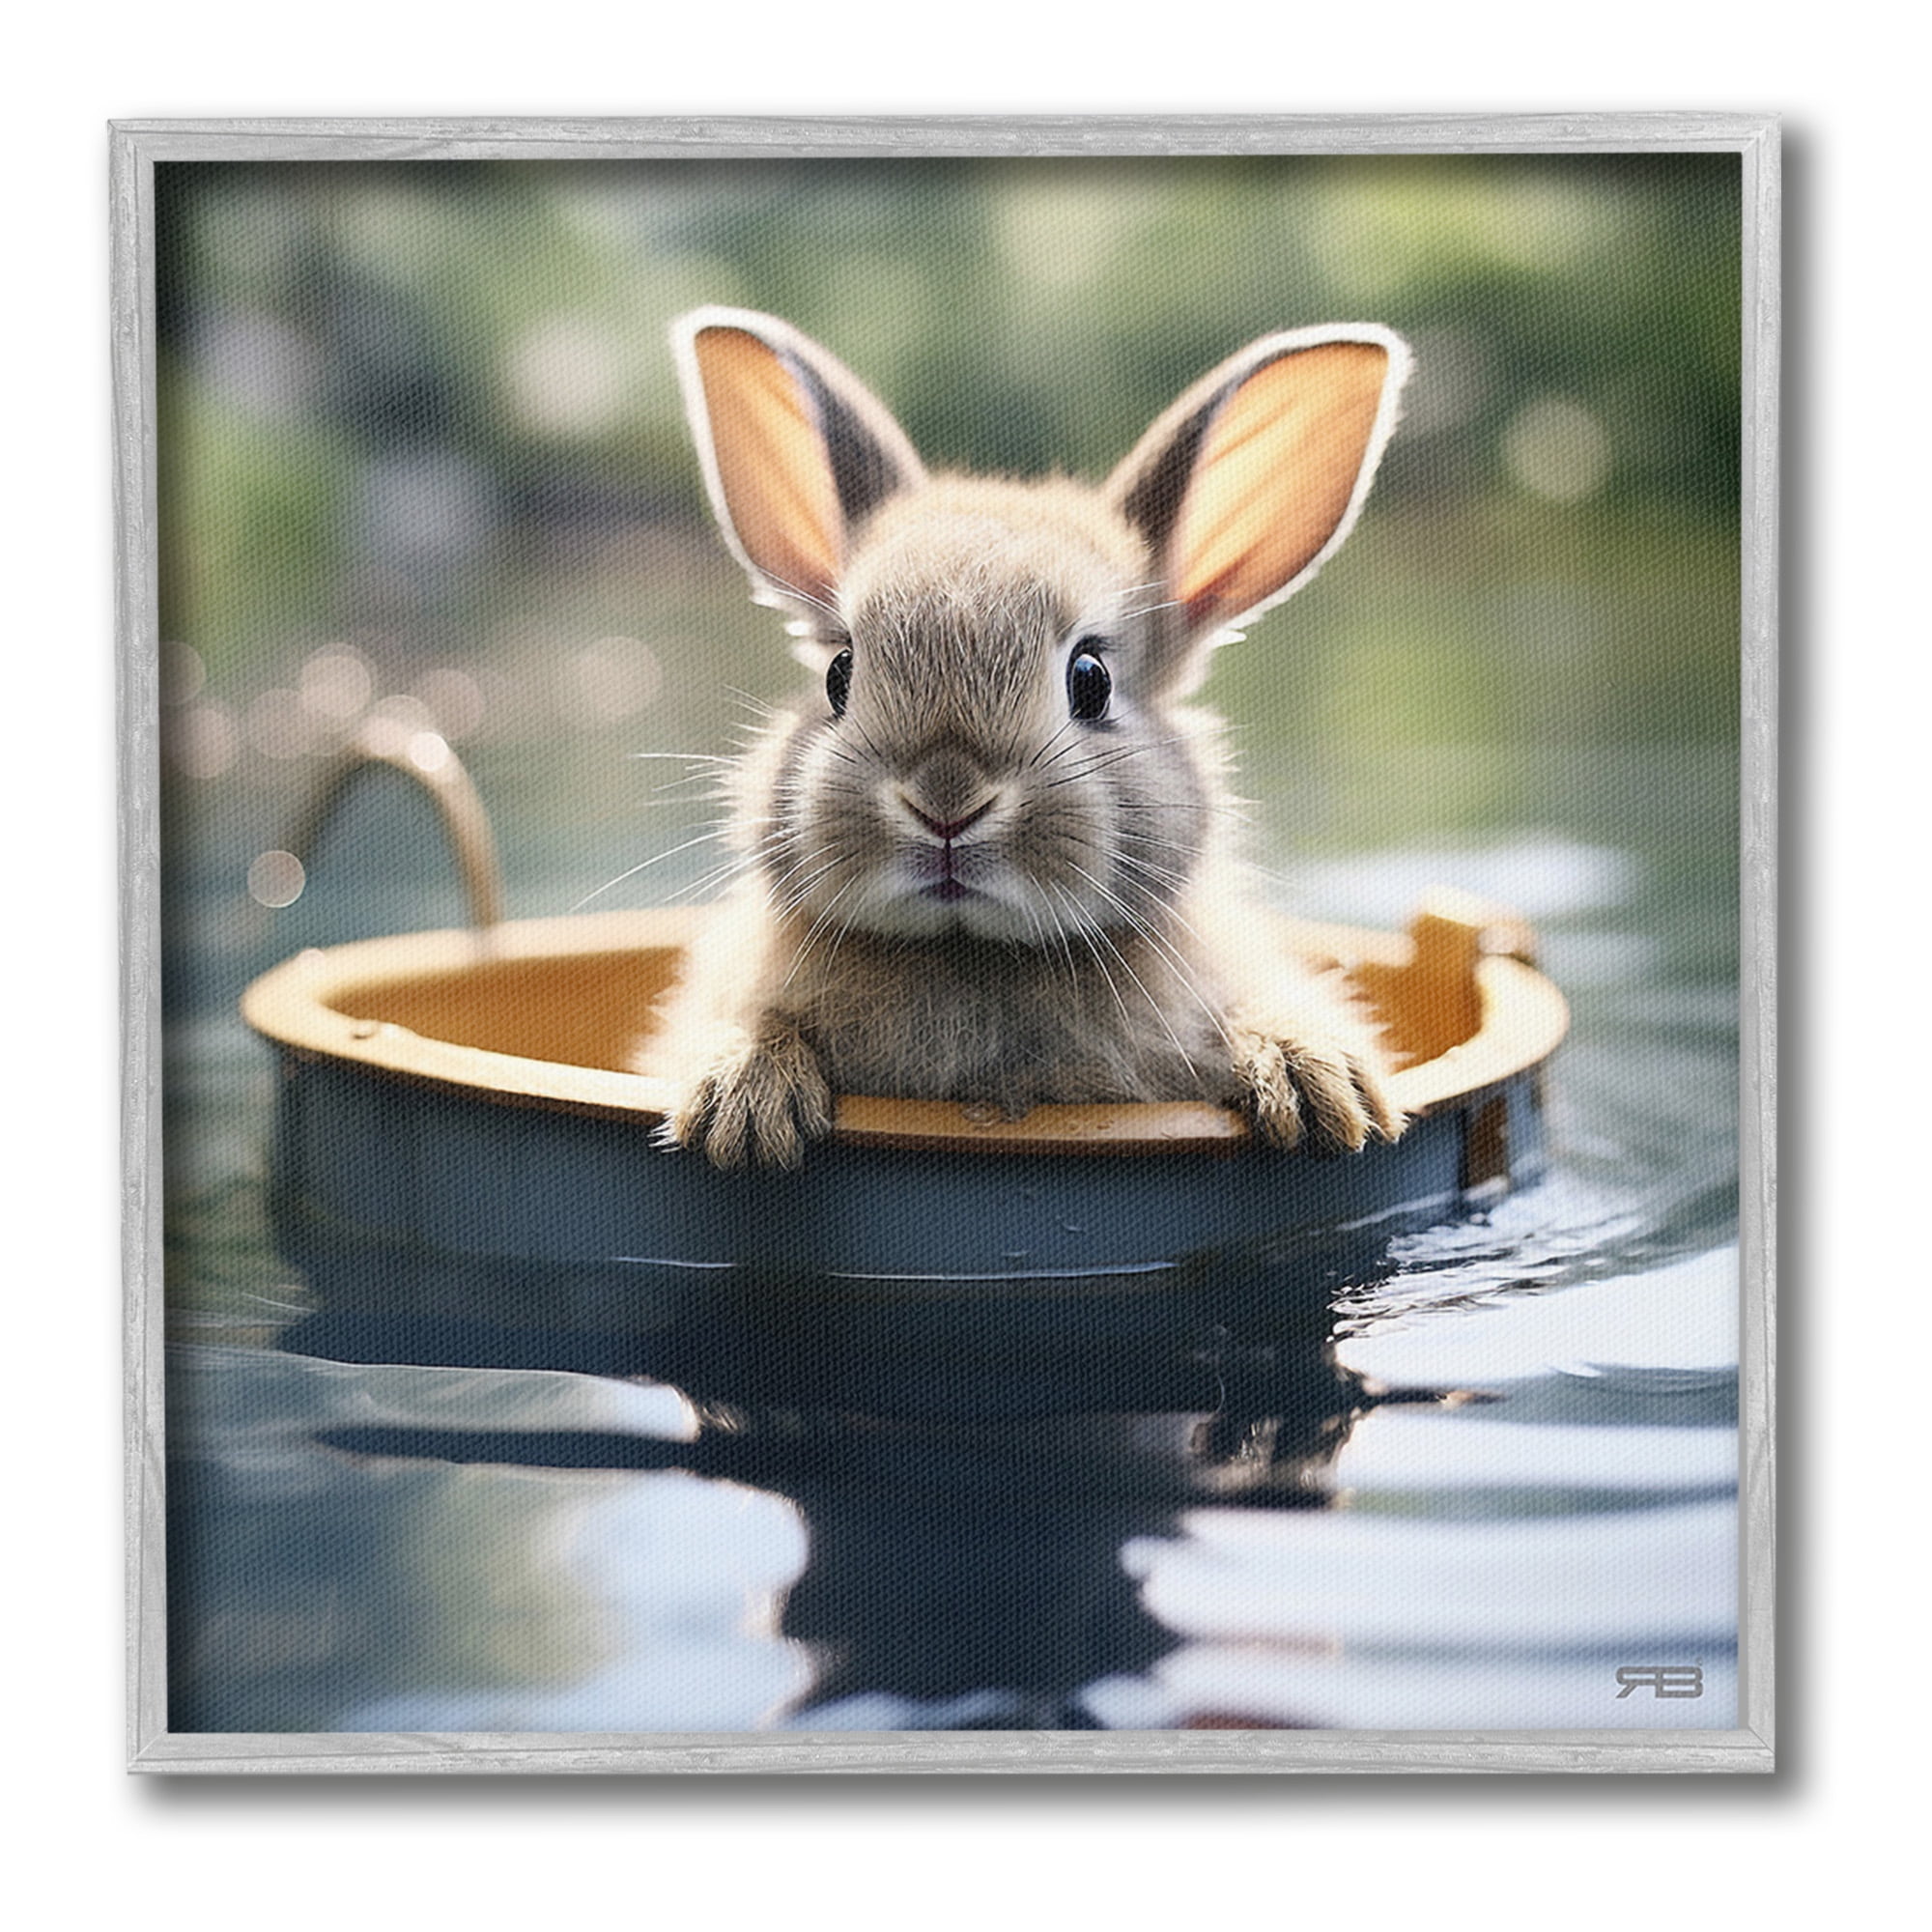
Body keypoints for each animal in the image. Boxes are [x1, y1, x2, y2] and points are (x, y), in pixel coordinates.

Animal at [640, 305, 1413, 1170]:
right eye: (840, 673)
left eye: (1092, 679)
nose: (946, 801)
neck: (968, 952)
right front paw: (742, 1104)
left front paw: (1320, 1088)